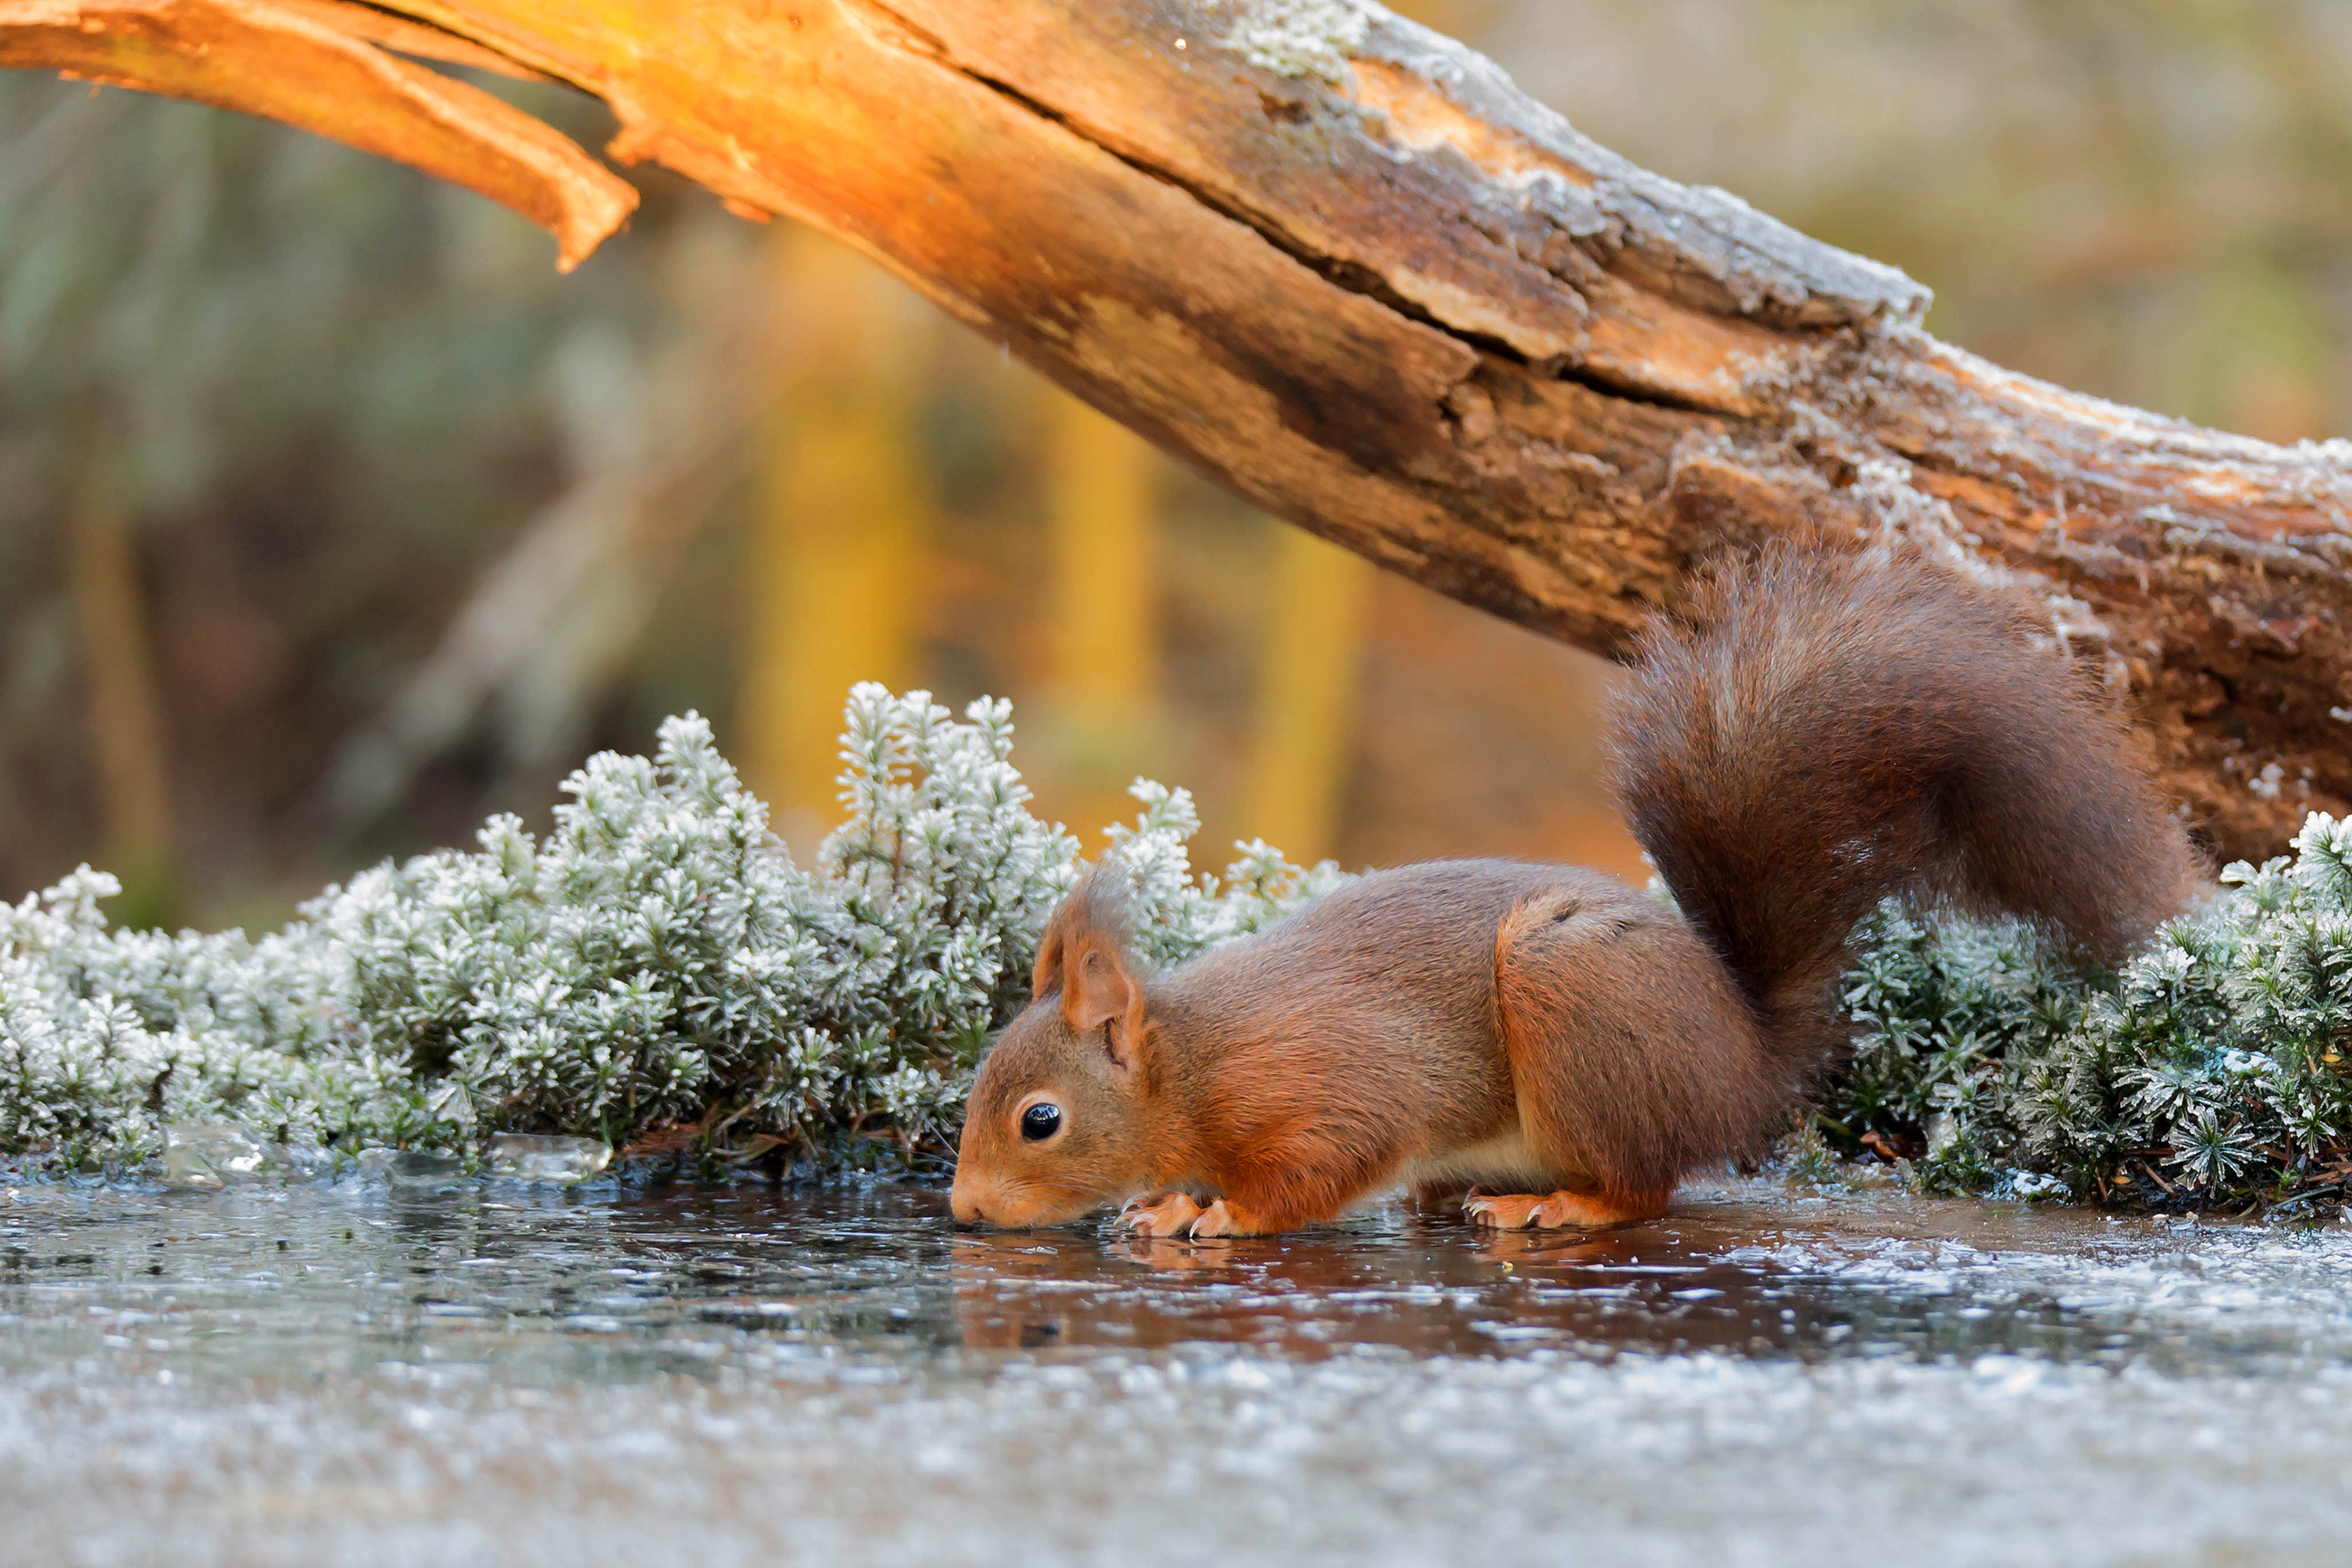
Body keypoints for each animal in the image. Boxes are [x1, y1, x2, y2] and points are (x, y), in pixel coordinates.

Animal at [948, 544, 2202, 1237]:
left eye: (1040, 1120)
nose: (962, 1212)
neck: (1194, 1067)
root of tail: (1744, 1059)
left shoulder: (1322, 1089)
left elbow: (1320, 1170)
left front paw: (1198, 1214)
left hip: (1574, 1002)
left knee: (1644, 1189)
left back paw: (1557, 1204)